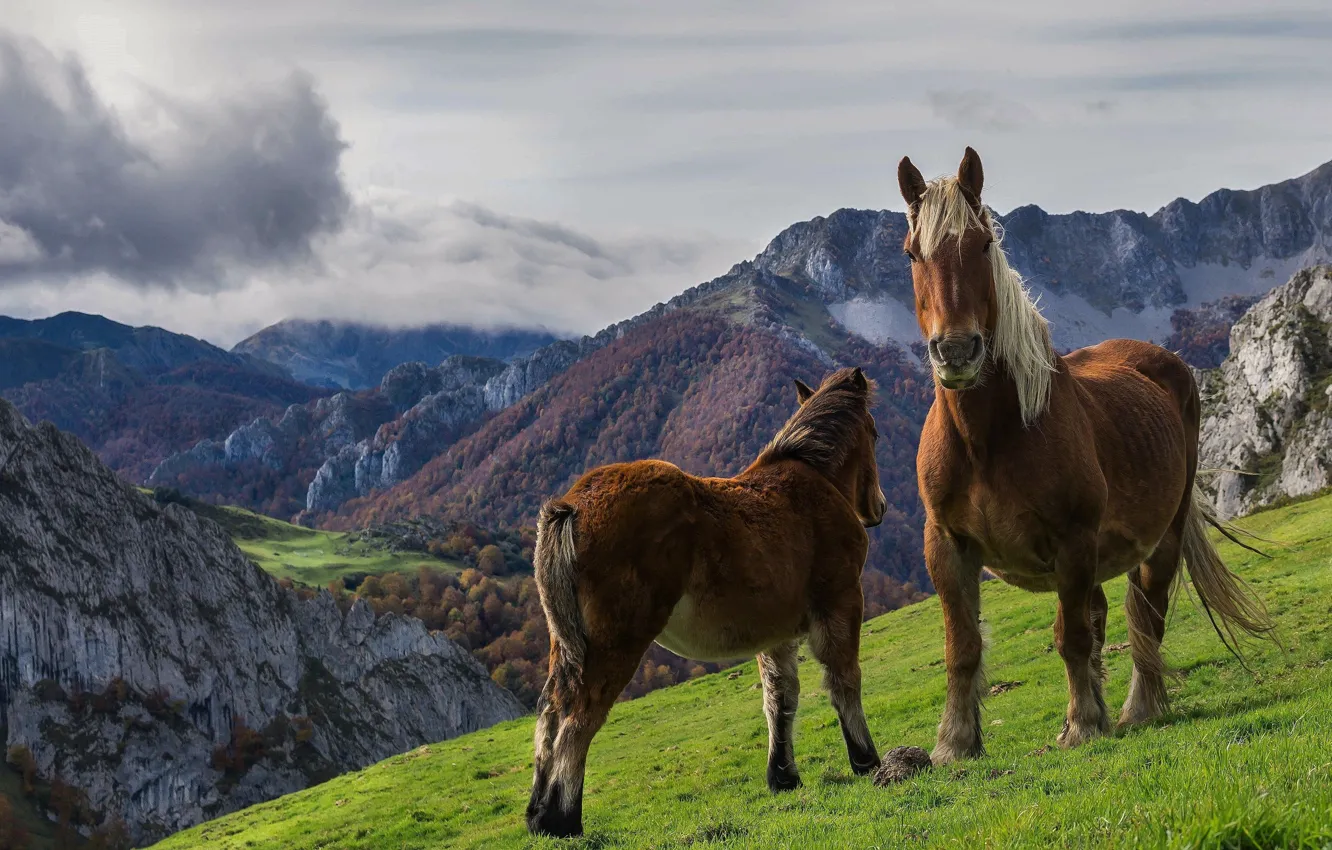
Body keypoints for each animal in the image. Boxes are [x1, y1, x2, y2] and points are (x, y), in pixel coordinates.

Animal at [526, 366, 888, 837]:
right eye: (875, 433)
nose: (879, 508)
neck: (815, 484)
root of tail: (573, 504)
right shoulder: (842, 603)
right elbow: (844, 680)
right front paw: (866, 760)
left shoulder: (777, 634)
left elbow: (780, 698)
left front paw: (783, 776)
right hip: (613, 646)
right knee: (579, 716)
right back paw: (561, 819)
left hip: (566, 644)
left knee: (551, 711)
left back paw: (538, 814)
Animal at [896, 147, 1276, 763]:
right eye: (912, 253)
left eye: (982, 244)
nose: (956, 350)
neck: (989, 438)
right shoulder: (946, 546)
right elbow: (963, 646)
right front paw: (955, 744)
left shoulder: (1072, 540)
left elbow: (1071, 637)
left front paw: (1083, 725)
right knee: (1103, 616)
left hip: (1161, 536)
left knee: (1146, 613)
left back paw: (1137, 708)